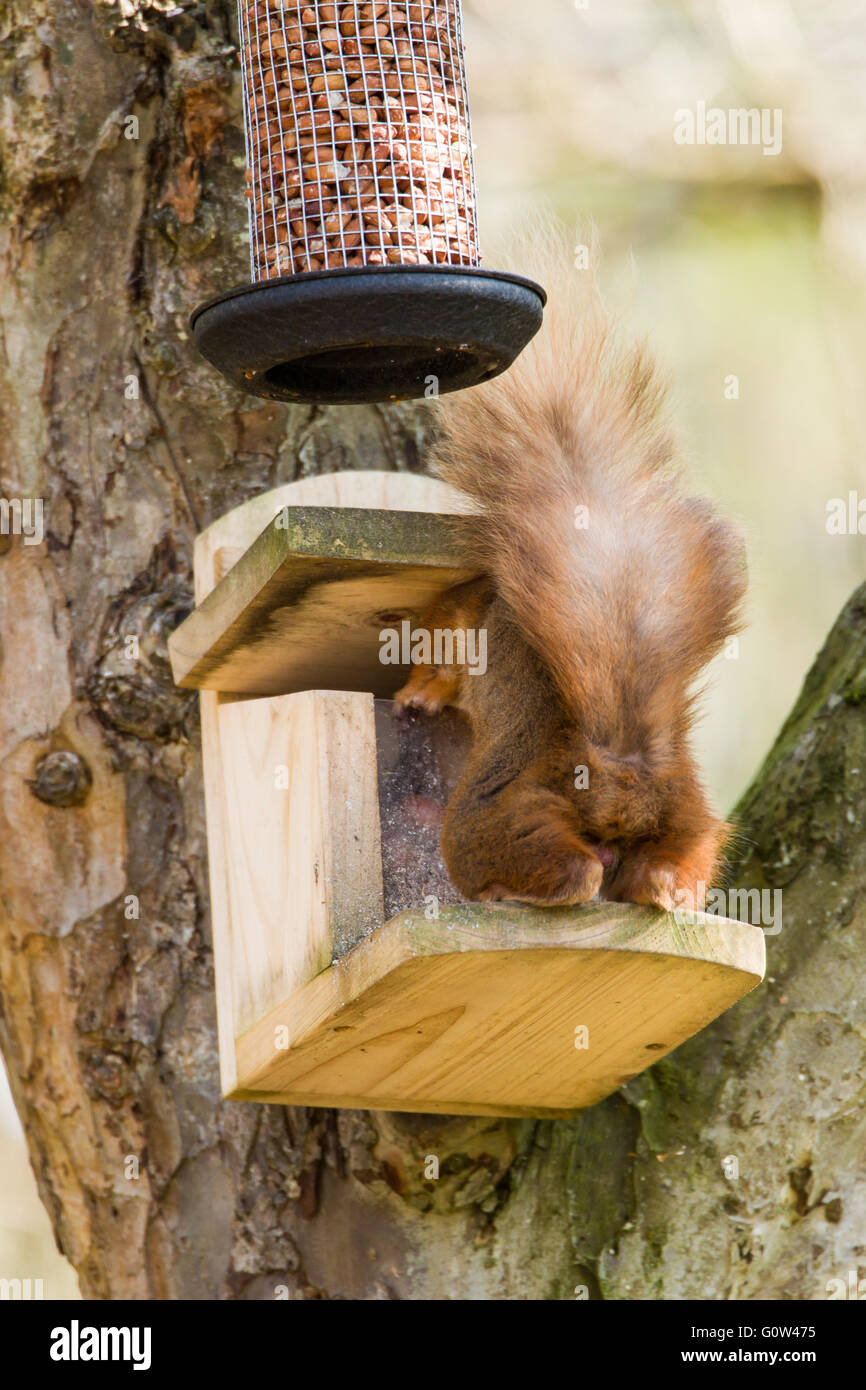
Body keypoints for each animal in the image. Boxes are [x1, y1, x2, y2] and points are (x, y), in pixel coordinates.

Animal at [394, 228, 747, 913]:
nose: (402, 692)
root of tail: (618, 774)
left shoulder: (452, 631)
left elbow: (441, 674)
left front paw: (414, 695)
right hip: (686, 826)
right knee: (660, 872)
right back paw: (670, 894)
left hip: (497, 822)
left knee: (570, 872)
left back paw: (507, 893)